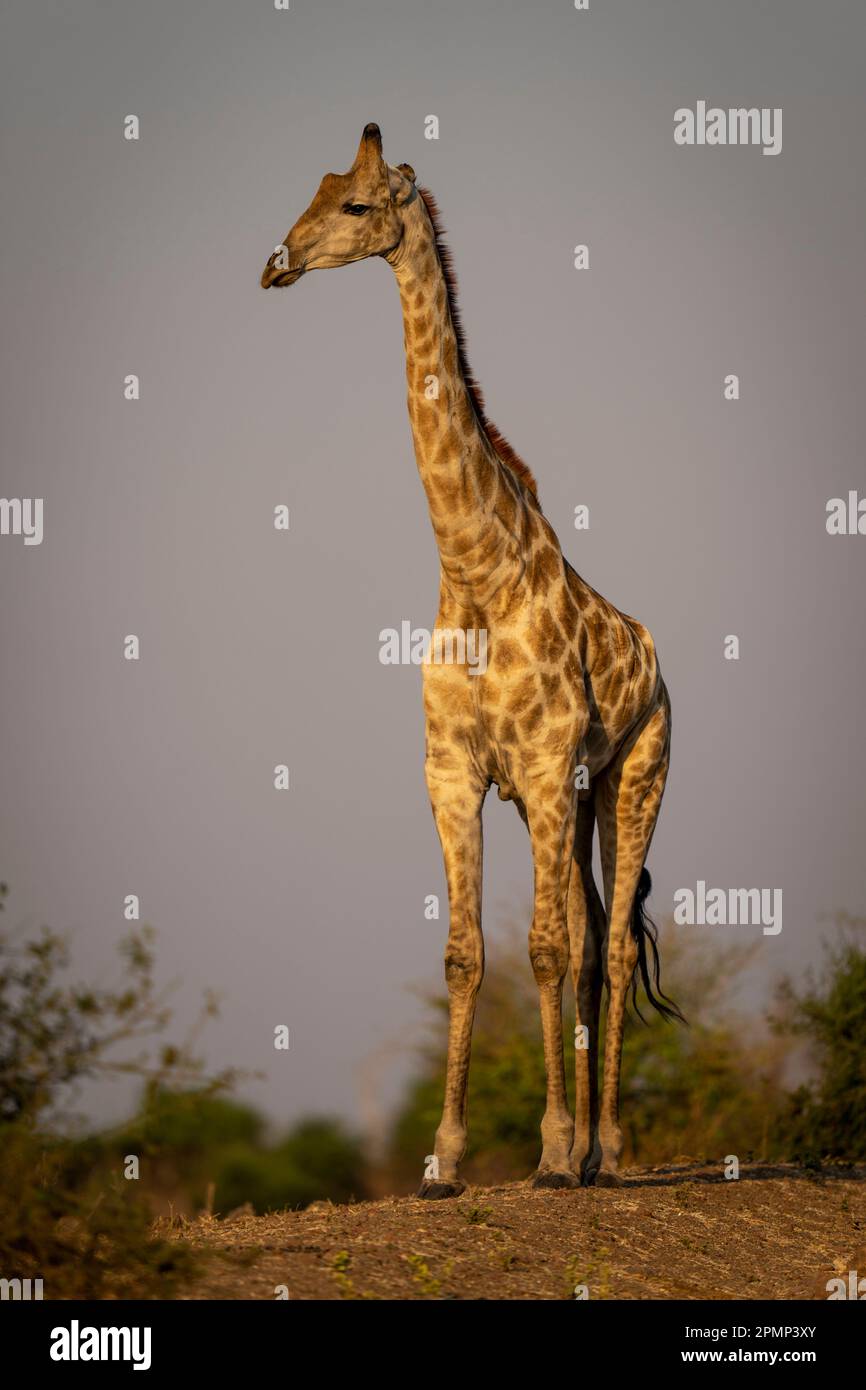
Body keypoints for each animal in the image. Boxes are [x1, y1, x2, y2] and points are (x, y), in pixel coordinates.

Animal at [261, 124, 682, 1196]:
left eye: (359, 206)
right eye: (311, 195)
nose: (276, 263)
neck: (476, 572)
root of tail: (657, 662)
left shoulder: (538, 763)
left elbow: (539, 949)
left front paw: (548, 1151)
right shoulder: (454, 771)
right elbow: (467, 954)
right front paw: (445, 1161)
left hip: (635, 775)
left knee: (610, 946)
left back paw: (607, 1150)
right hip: (567, 798)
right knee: (591, 938)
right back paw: (590, 1150)